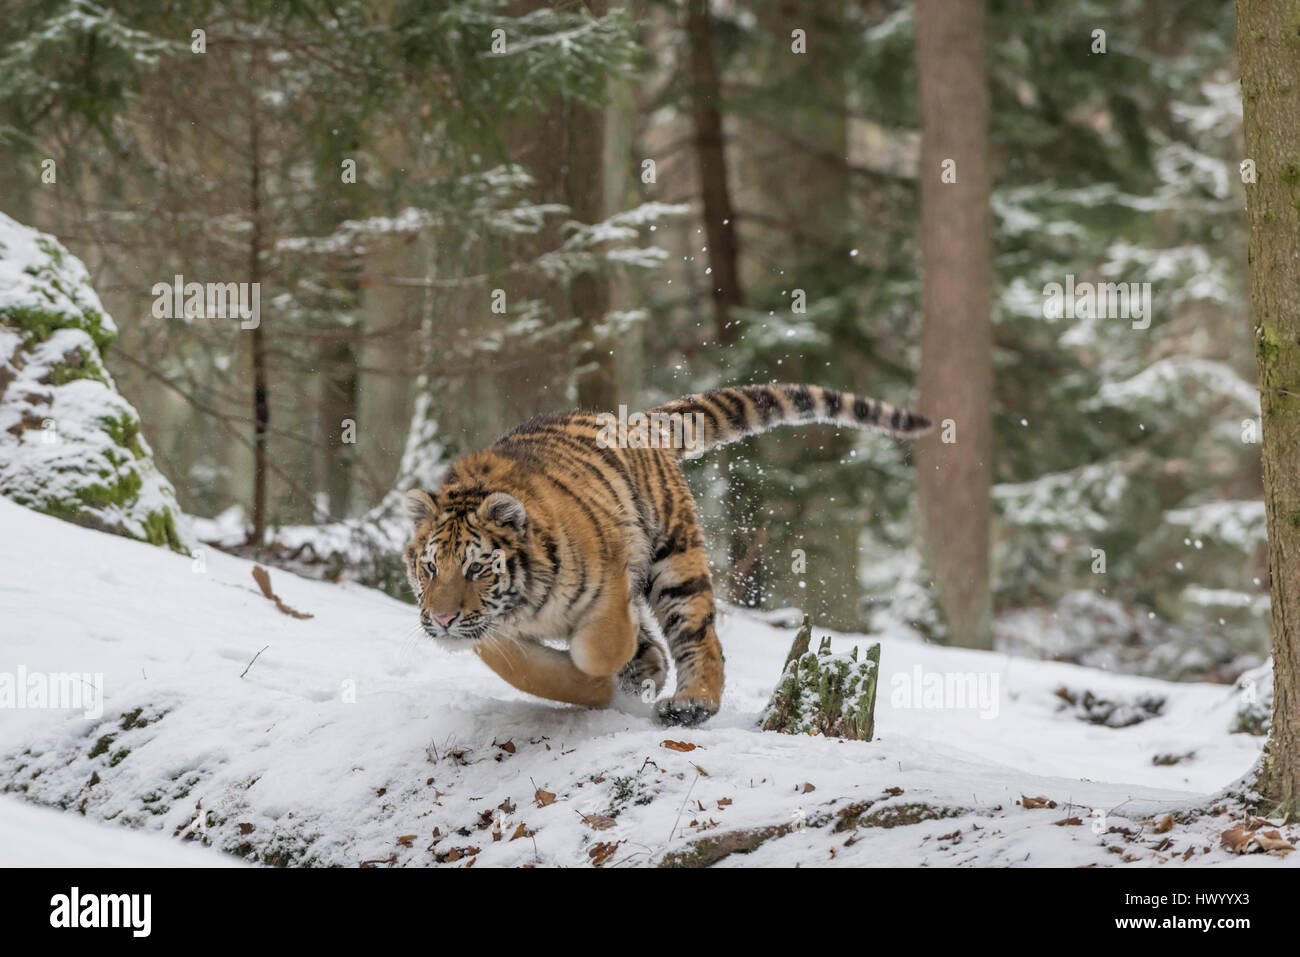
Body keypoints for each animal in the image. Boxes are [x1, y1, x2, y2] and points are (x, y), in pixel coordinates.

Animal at [402, 383, 930, 727]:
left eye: (476, 568)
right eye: (429, 568)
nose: (443, 620)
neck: (524, 609)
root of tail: (634, 422)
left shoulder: (608, 585)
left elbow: (598, 649)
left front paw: (608, 681)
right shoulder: (495, 636)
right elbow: (529, 673)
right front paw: (613, 681)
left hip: (675, 563)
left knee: (700, 638)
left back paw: (690, 702)